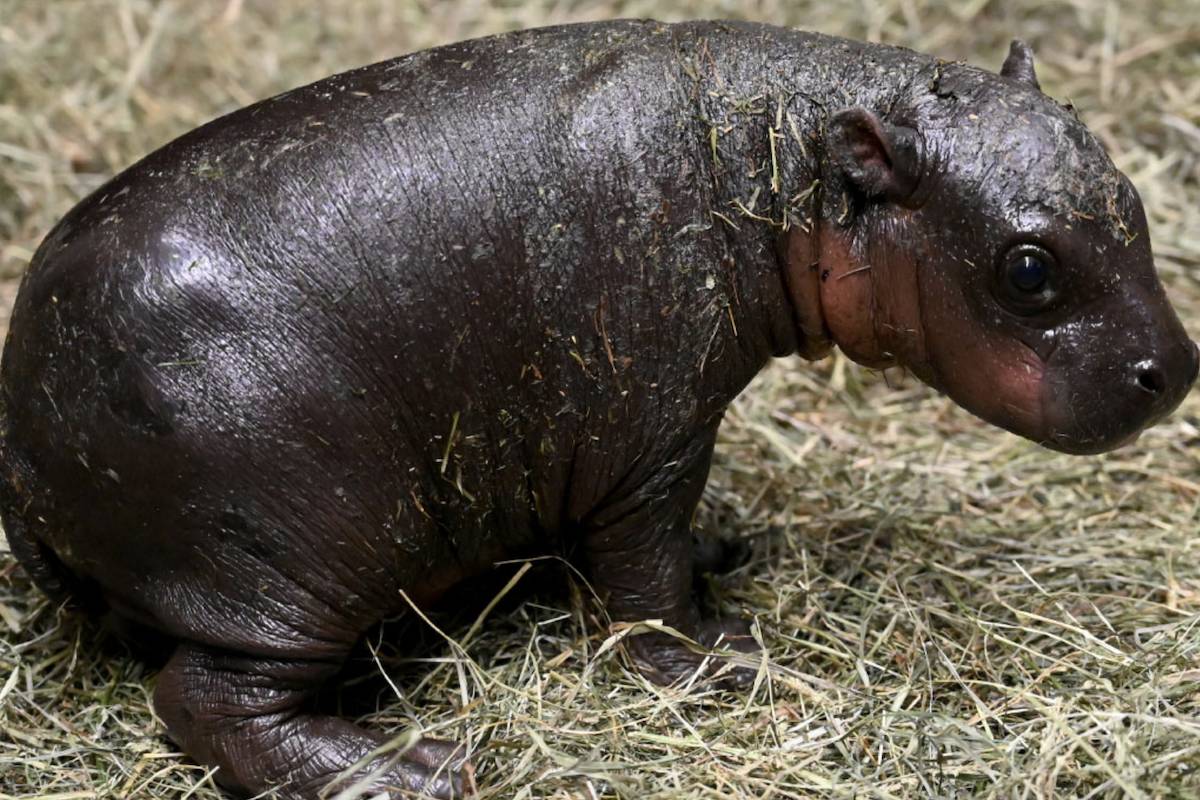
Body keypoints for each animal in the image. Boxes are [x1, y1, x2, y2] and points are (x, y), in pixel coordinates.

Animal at [1, 19, 1195, 799]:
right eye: (1029, 268)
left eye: (1133, 198)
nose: (1179, 368)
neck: (781, 157)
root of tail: (18, 432)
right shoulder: (650, 439)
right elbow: (645, 572)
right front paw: (721, 661)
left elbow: (652, 551)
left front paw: (725, 558)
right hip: (296, 549)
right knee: (210, 698)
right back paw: (414, 771)